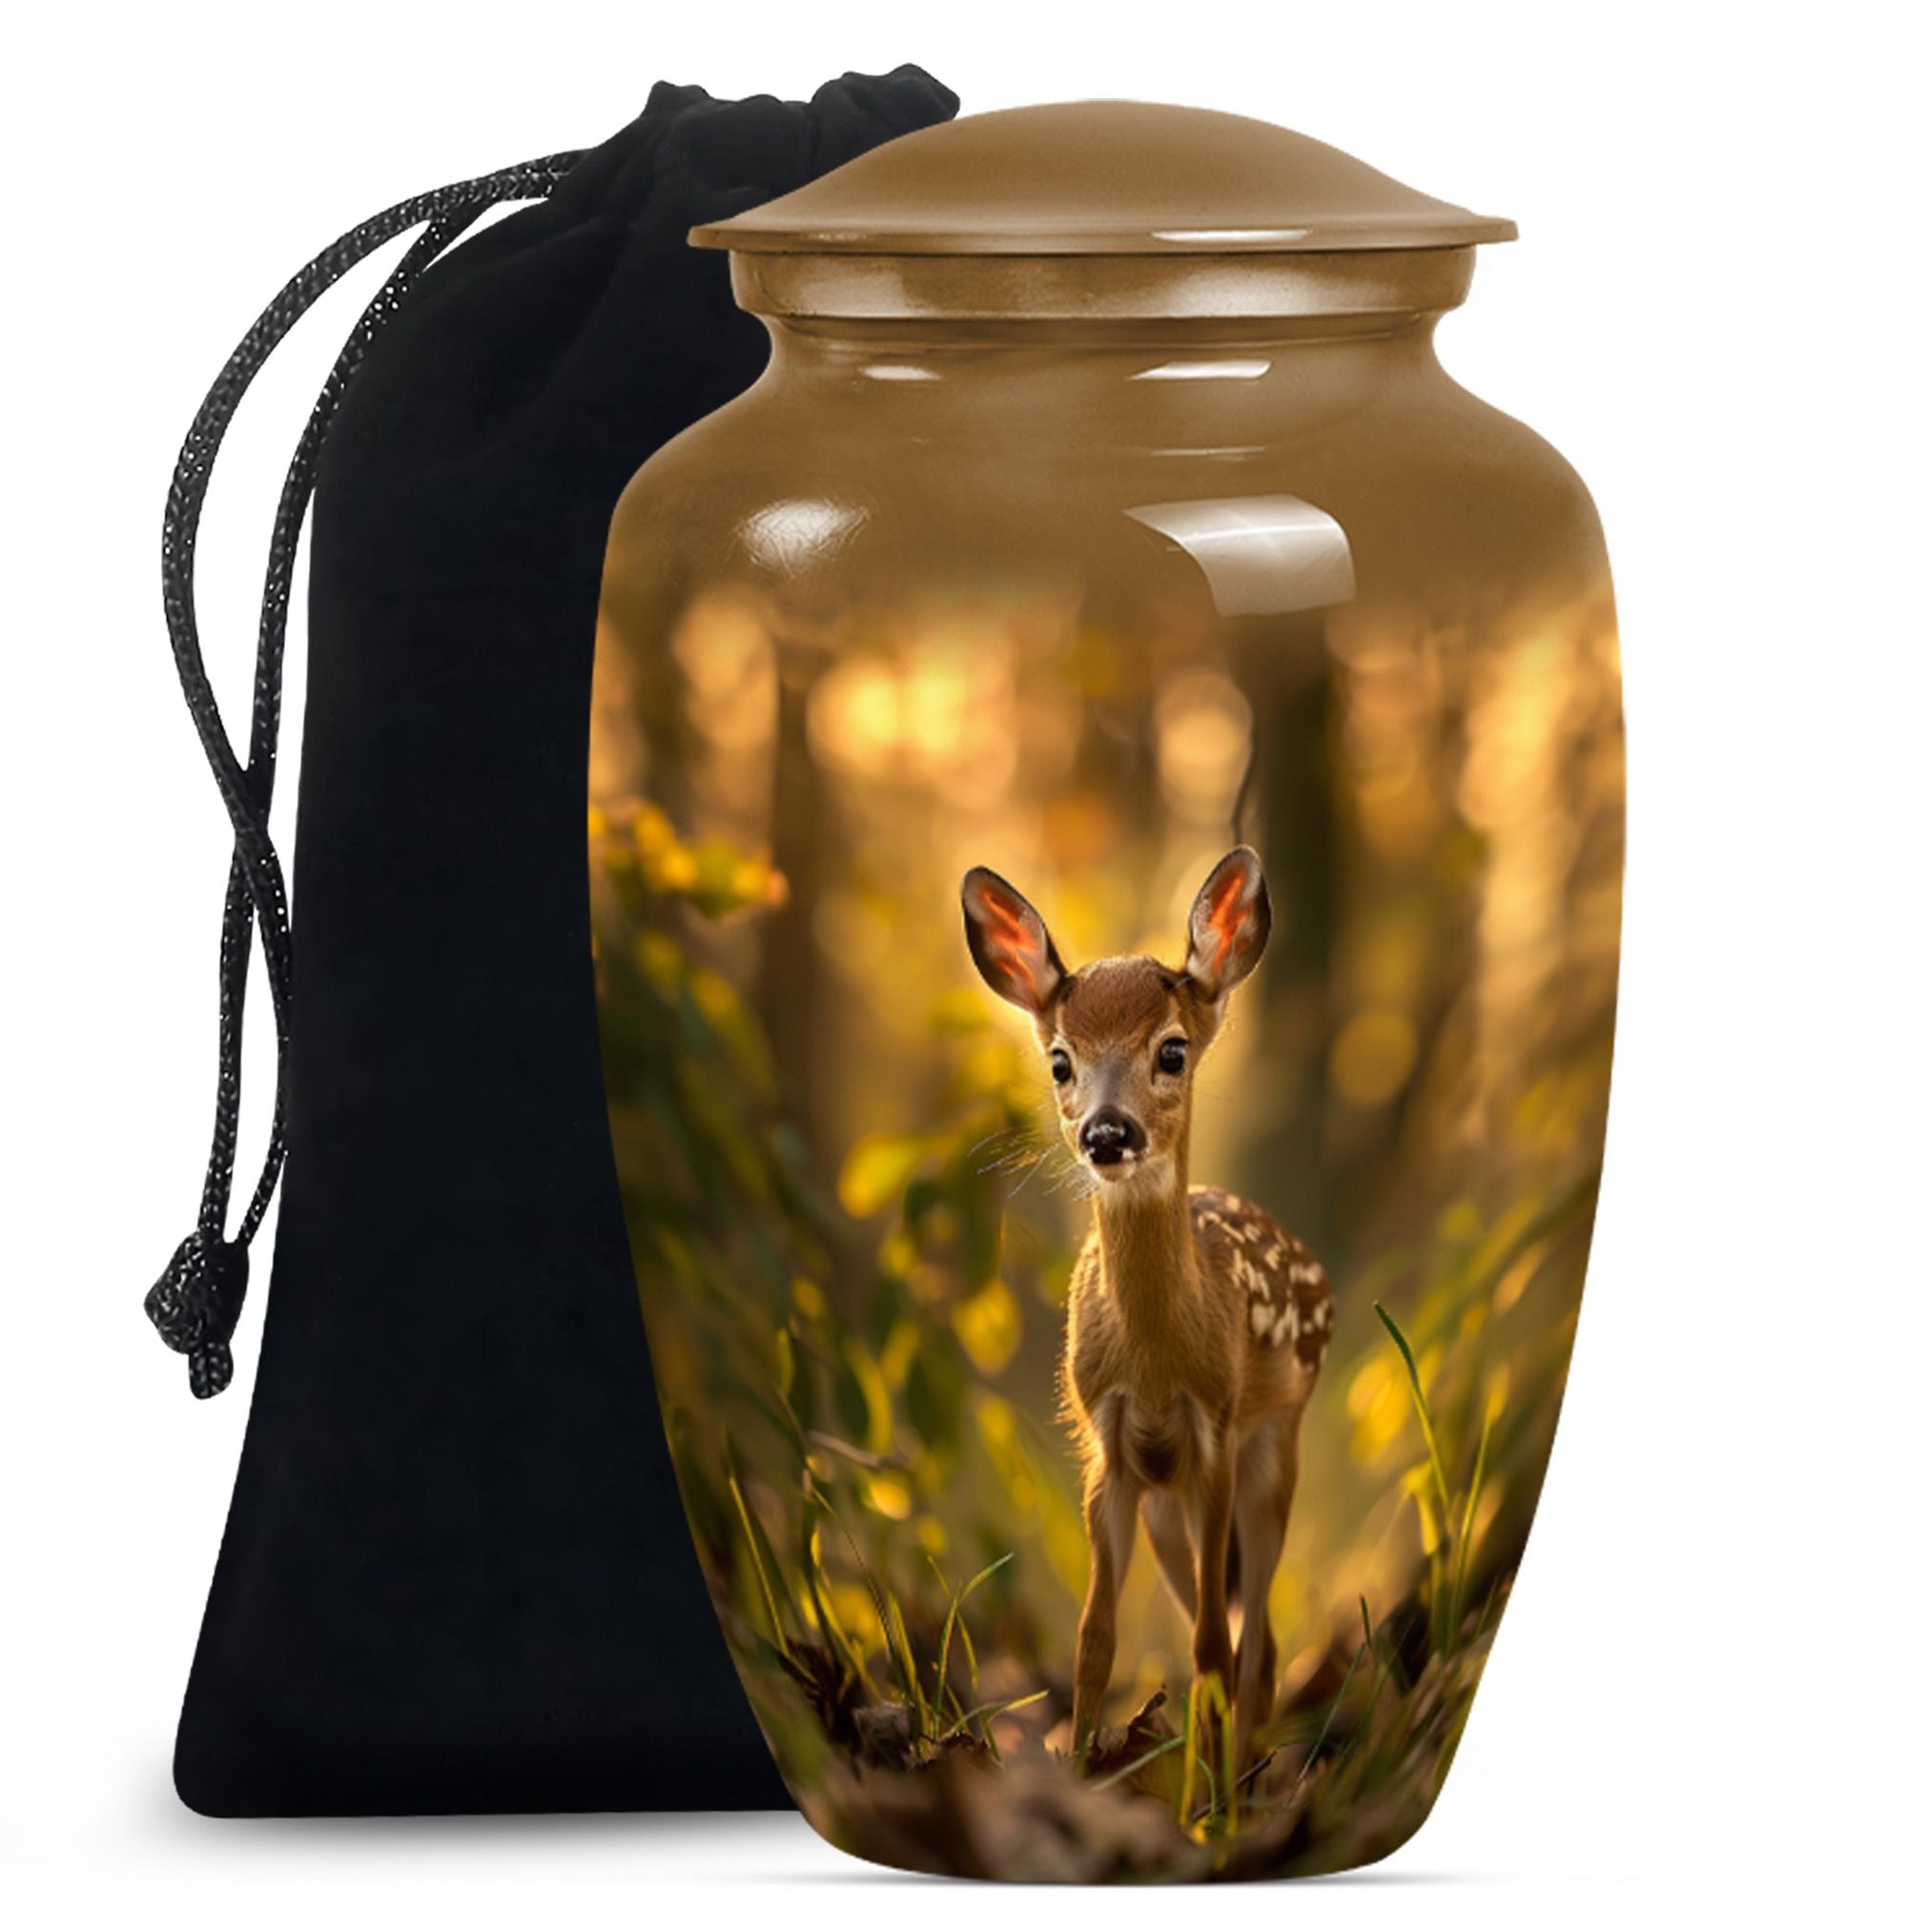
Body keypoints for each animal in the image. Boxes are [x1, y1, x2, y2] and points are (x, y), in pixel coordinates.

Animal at [961, 848, 1332, 1776]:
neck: (1161, 1361)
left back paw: (1246, 1775)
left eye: (1171, 1049)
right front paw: (1078, 1768)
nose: (1107, 1133)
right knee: (1237, 1629)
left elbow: (1210, 1649)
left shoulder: (1218, 1430)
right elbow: (1097, 1638)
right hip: (1168, 1505)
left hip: (1274, 1452)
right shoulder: (1110, 1448)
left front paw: (1208, 1801)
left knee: (1257, 1640)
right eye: (1061, 1061)